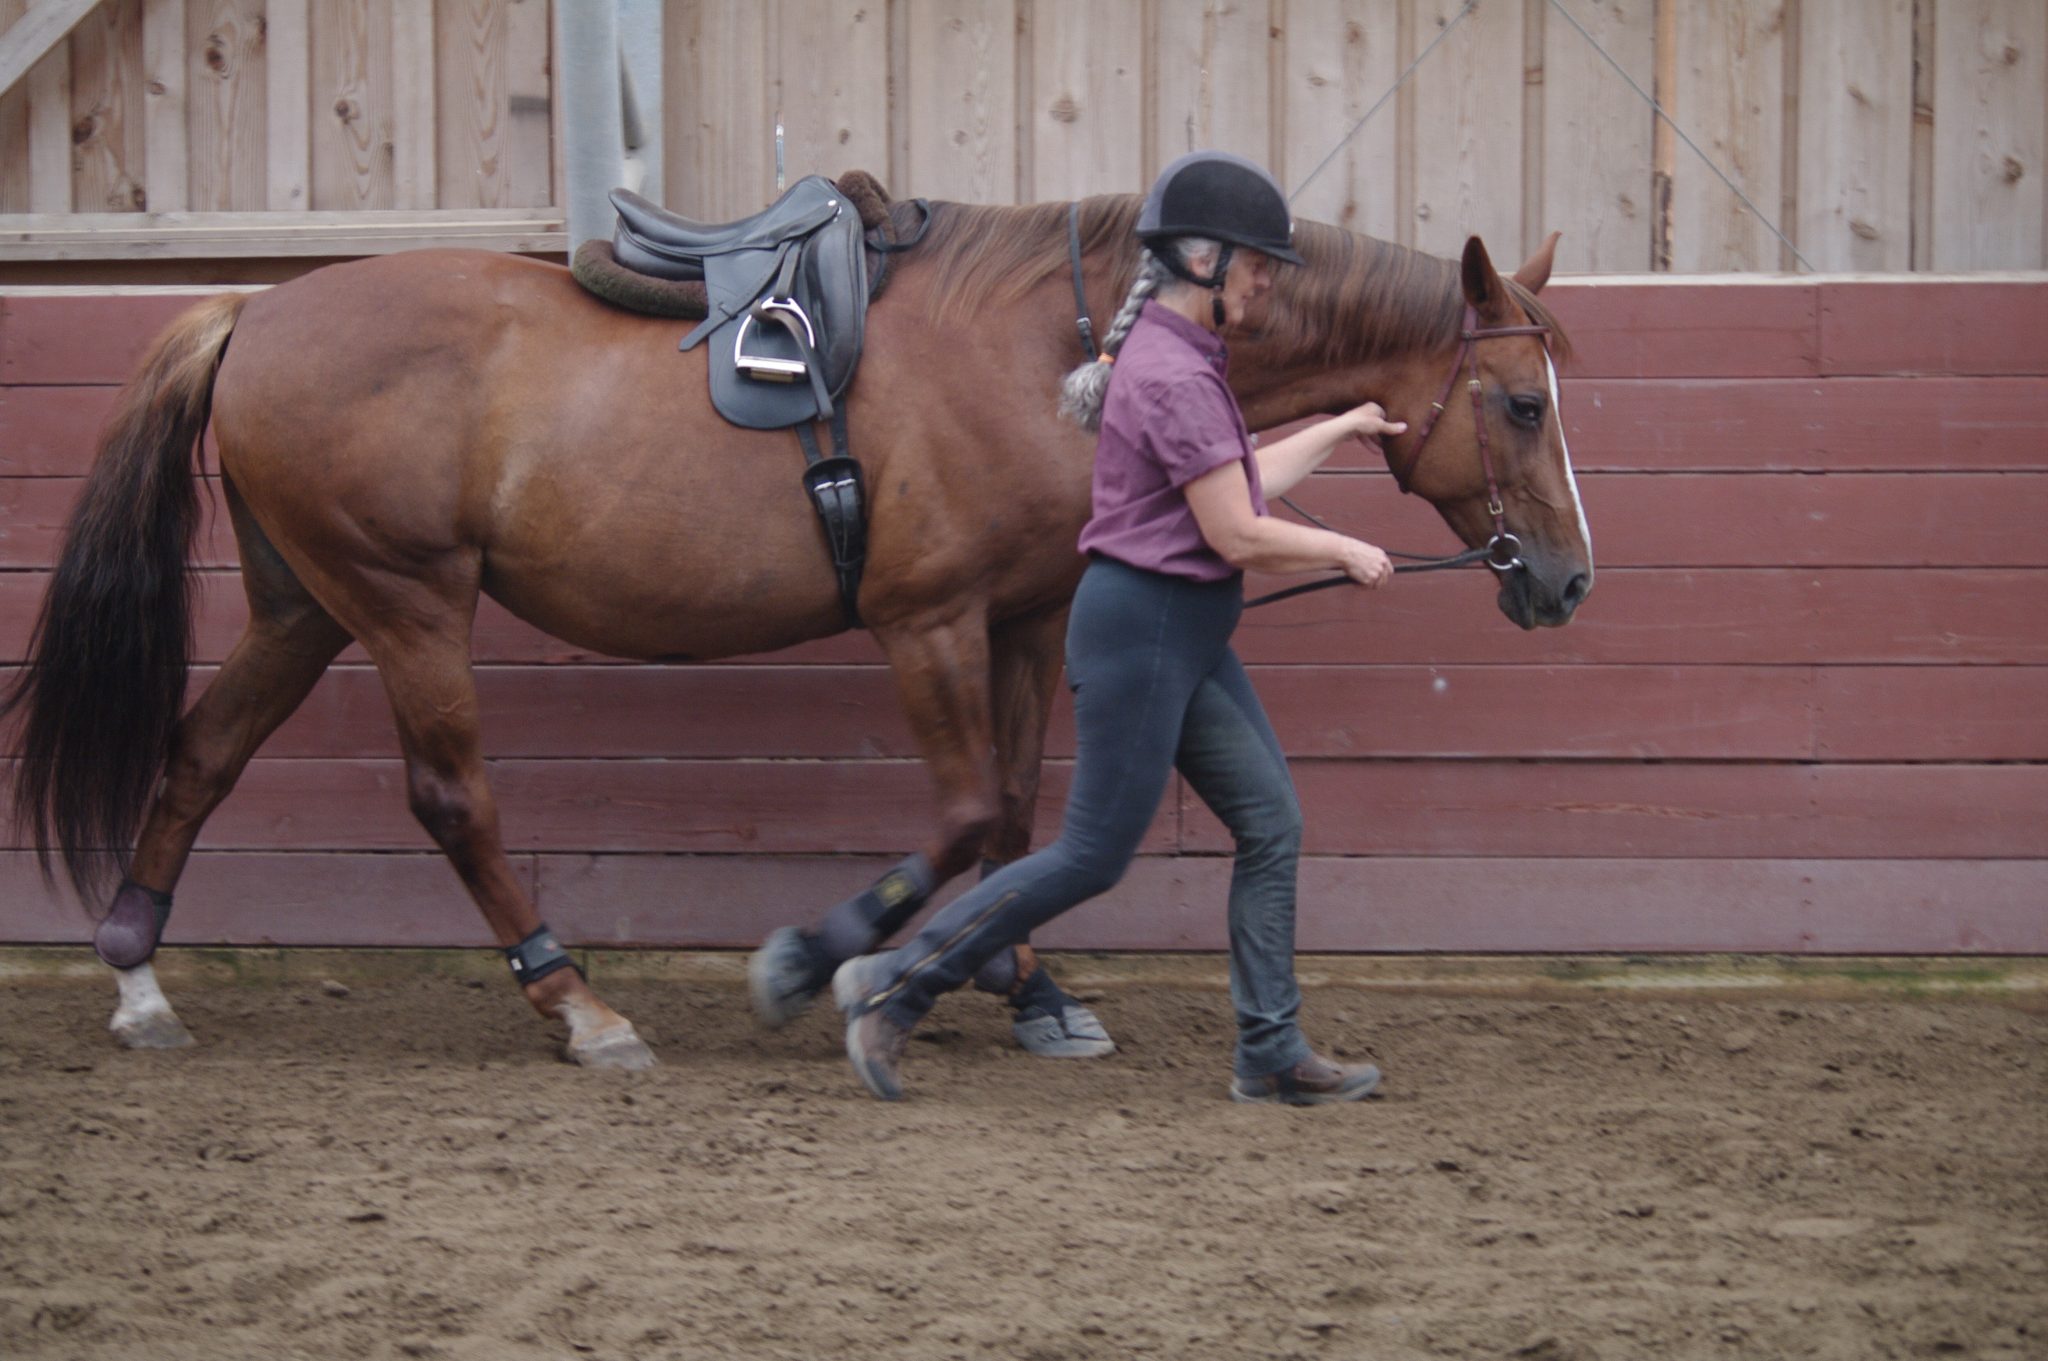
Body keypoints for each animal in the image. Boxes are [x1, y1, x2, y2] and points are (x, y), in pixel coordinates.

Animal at [4, 190, 1591, 1068]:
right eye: (1522, 404)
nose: (1567, 582)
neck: (1054, 348)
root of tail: (254, 311)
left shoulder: (1024, 618)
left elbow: (1024, 818)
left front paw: (1020, 985)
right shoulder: (924, 621)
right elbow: (964, 816)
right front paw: (833, 962)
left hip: (306, 608)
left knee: (201, 755)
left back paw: (140, 978)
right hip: (404, 603)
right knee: (452, 799)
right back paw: (578, 1004)